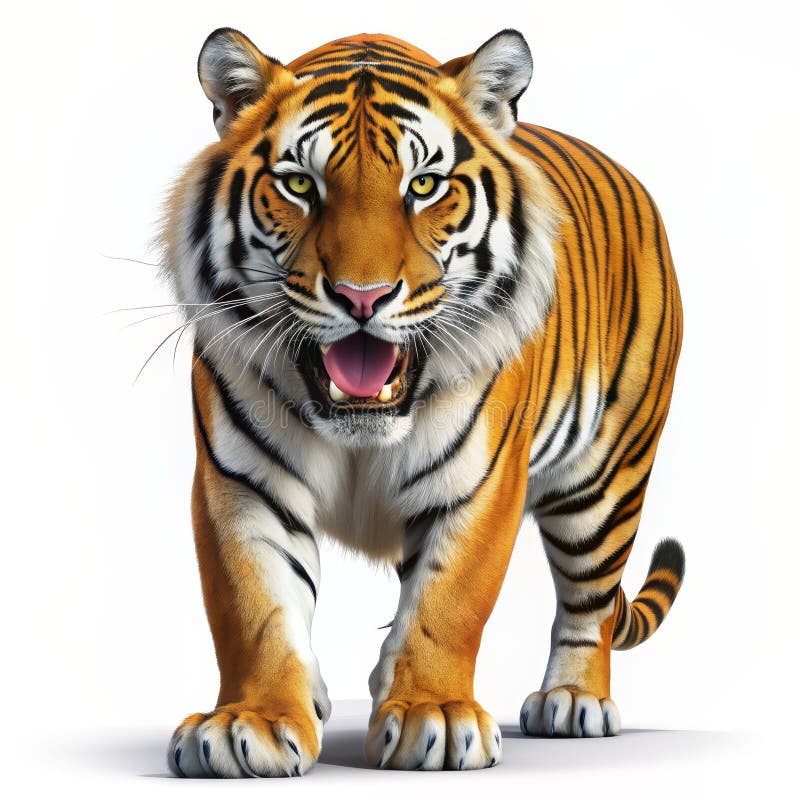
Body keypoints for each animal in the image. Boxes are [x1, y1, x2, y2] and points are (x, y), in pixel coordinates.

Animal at [159, 27, 684, 777]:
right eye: (299, 185)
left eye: (425, 186)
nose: (363, 297)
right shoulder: (241, 482)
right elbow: (252, 608)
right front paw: (250, 723)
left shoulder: (480, 484)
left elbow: (449, 602)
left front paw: (433, 715)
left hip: (605, 483)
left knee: (591, 603)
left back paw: (574, 702)